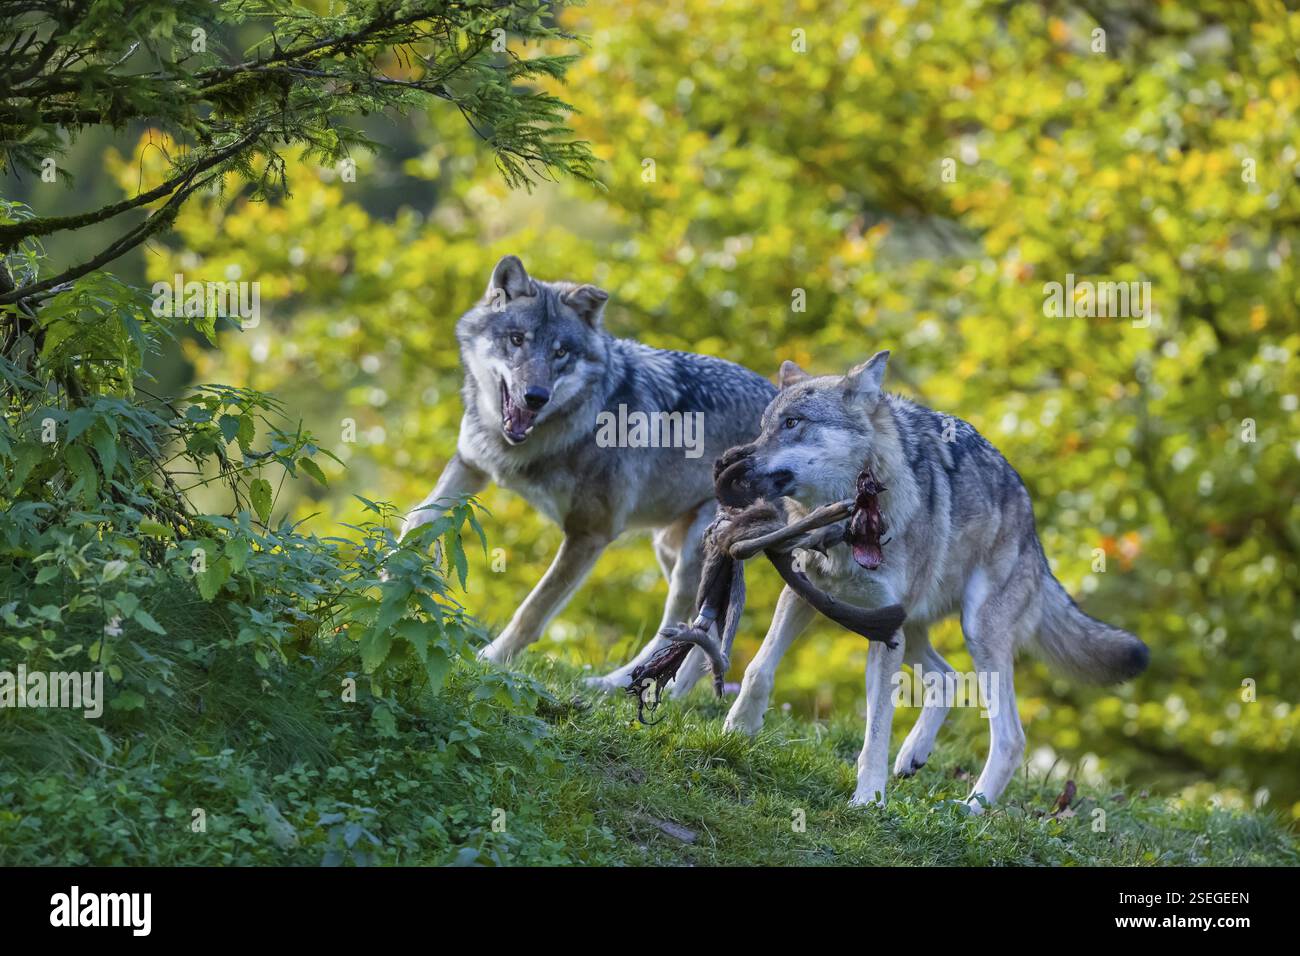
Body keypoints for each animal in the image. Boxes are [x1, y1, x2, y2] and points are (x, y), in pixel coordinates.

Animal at [400, 255, 776, 691]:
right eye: (517, 339)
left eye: (561, 352)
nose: (535, 397)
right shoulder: (471, 466)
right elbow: (417, 520)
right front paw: (384, 574)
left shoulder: (590, 533)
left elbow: (533, 608)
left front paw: (490, 661)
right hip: (670, 549)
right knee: (701, 635)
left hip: (693, 554)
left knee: (681, 629)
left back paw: (619, 687)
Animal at [718, 350, 1148, 812]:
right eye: (764, 426)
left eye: (793, 423)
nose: (733, 461)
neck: (847, 525)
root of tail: (1031, 522)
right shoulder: (805, 594)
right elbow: (759, 668)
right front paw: (736, 731)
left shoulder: (885, 633)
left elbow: (876, 730)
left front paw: (868, 799)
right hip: (908, 628)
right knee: (947, 677)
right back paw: (915, 755)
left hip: (975, 632)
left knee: (1010, 736)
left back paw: (974, 807)